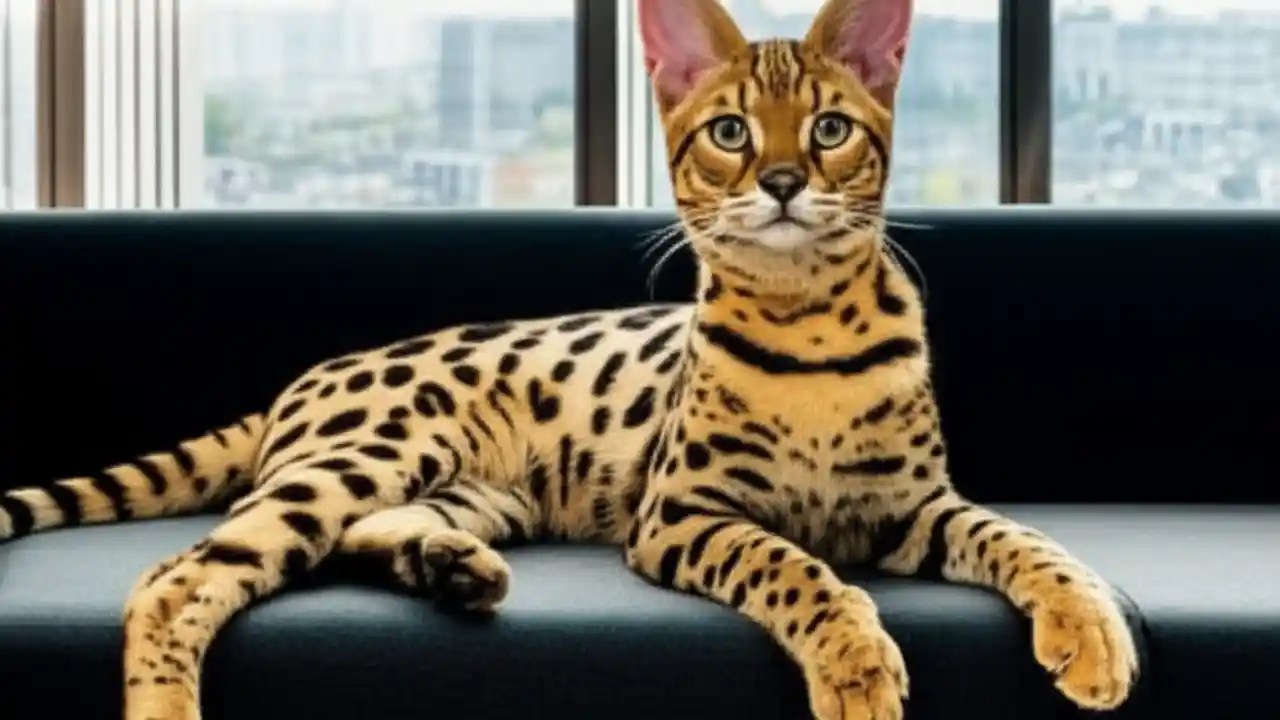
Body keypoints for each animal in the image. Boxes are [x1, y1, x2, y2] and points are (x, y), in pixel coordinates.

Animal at [0, 1, 1139, 718]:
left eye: (827, 129)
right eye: (729, 132)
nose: (778, 181)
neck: (809, 324)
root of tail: (305, 380)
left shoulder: (914, 508)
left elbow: (1028, 541)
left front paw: (1090, 629)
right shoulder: (683, 516)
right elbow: (795, 568)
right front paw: (856, 663)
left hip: (479, 488)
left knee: (352, 538)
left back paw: (449, 569)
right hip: (367, 453)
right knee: (176, 578)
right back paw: (169, 701)